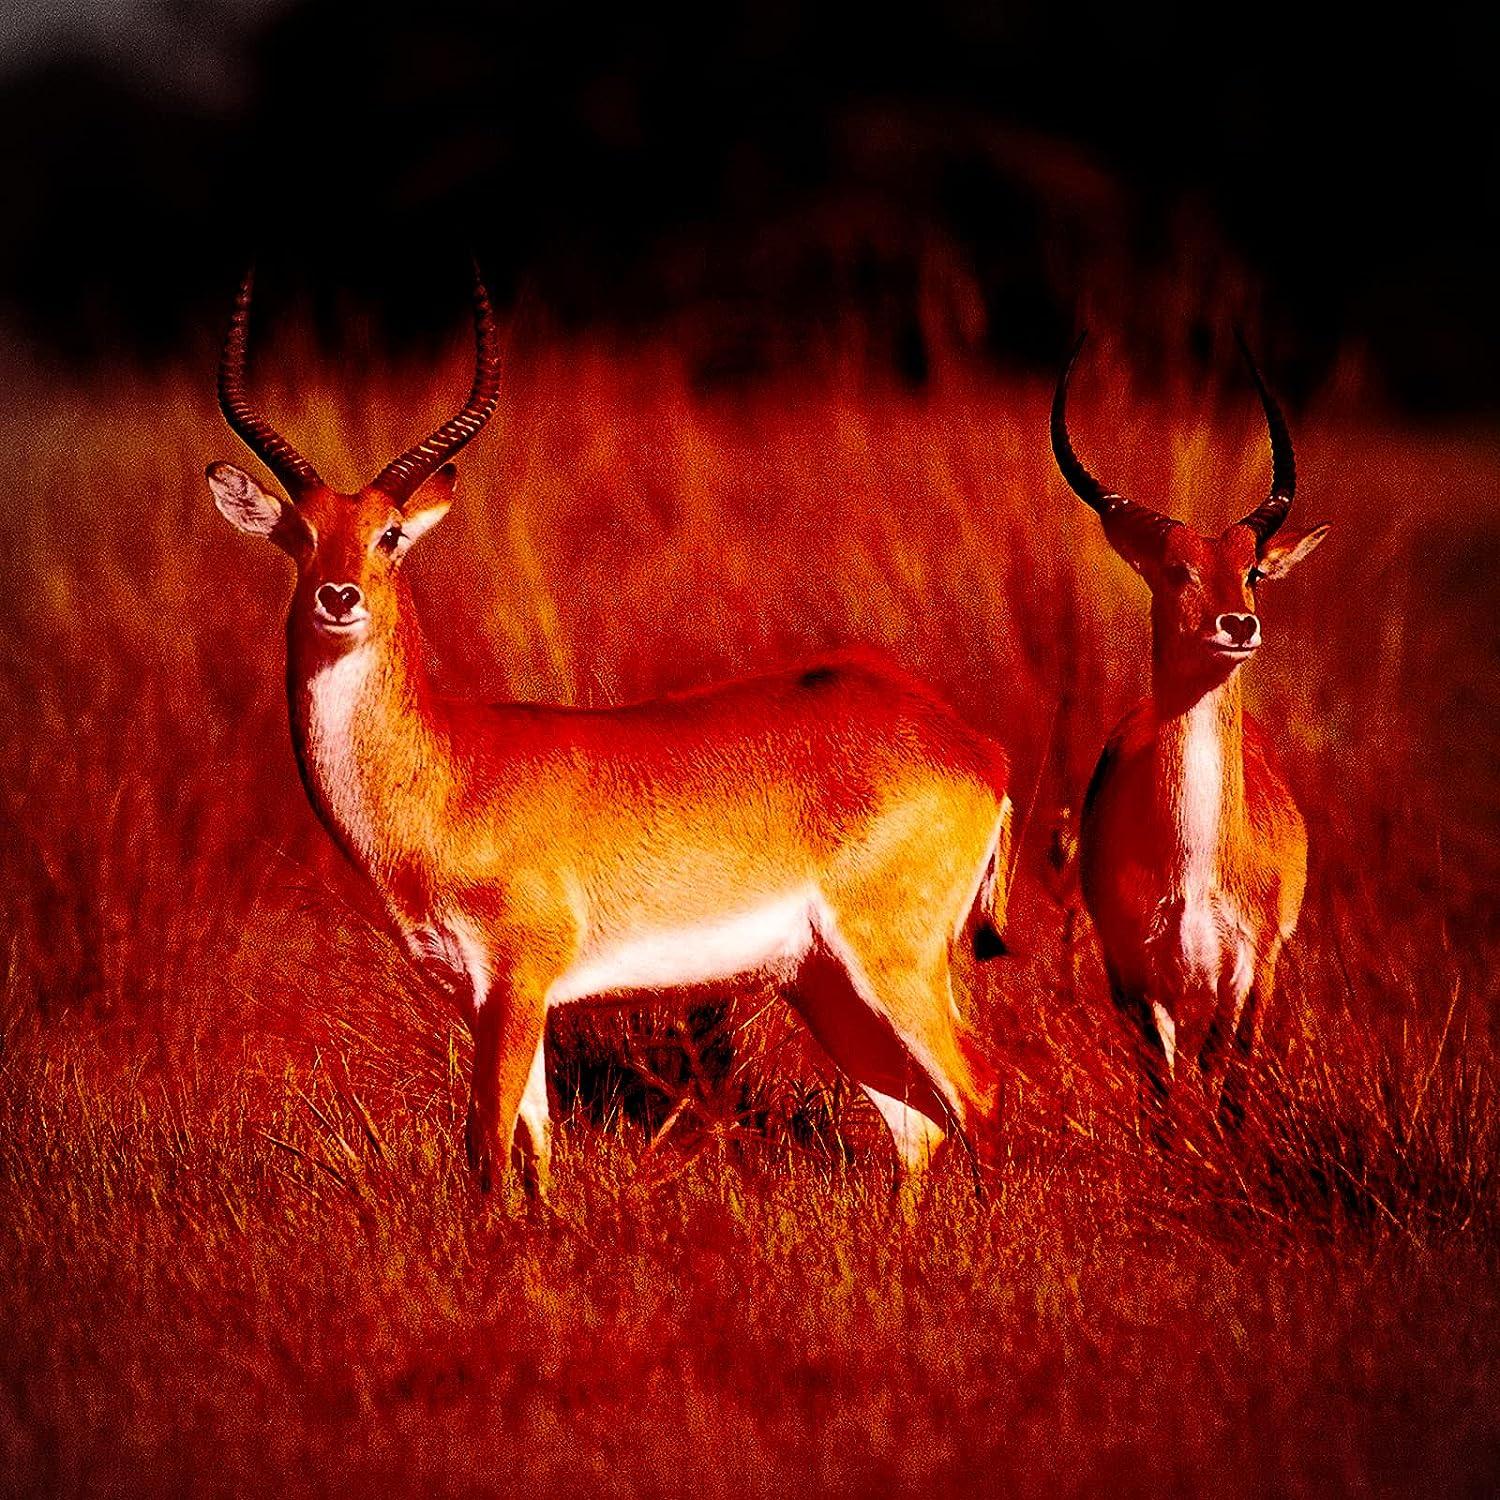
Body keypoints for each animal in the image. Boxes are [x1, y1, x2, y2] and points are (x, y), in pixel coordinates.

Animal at [208, 269, 1012, 1195]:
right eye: (301, 535)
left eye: (391, 535)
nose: (339, 598)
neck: (448, 774)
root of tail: (977, 749)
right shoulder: (490, 998)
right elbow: (536, 1146)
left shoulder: (516, 982)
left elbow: (486, 1148)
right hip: (824, 984)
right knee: (918, 1125)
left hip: (892, 962)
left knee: (979, 1090)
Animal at [1051, 333, 1330, 1123]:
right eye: (1175, 570)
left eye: (1253, 571)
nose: (1239, 625)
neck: (1198, 859)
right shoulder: (1139, 976)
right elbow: (1164, 1101)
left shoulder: (1244, 970)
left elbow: (1226, 1084)